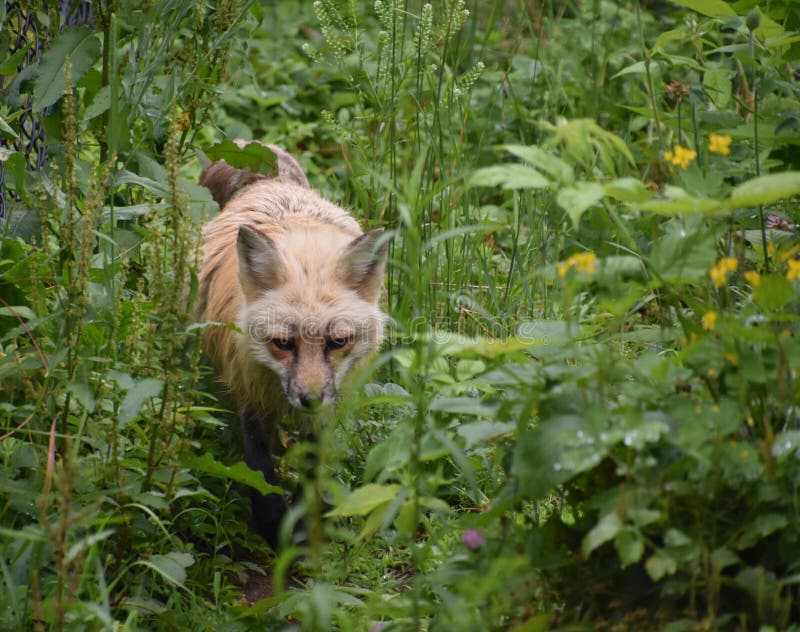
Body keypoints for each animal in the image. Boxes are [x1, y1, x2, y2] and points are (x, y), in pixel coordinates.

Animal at [198, 143, 387, 548]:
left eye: (339, 341)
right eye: (283, 343)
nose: (309, 399)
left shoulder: (327, 409)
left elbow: (312, 472)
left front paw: (298, 530)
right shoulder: (248, 386)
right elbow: (259, 467)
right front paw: (273, 526)